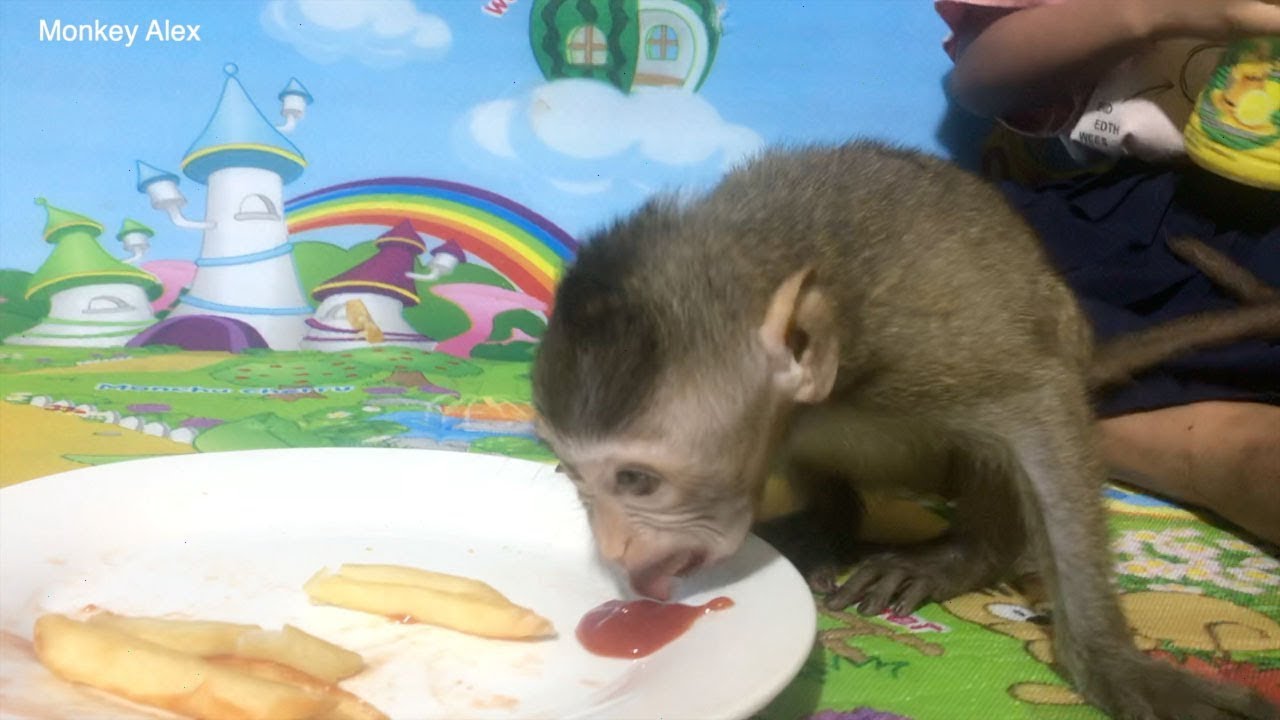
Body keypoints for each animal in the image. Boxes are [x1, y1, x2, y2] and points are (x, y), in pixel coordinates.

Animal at [530, 141, 1279, 720]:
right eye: (574, 476)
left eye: (637, 480)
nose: (616, 547)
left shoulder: (928, 341)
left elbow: (1041, 407)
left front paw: (1111, 661)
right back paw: (829, 525)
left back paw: (967, 556)